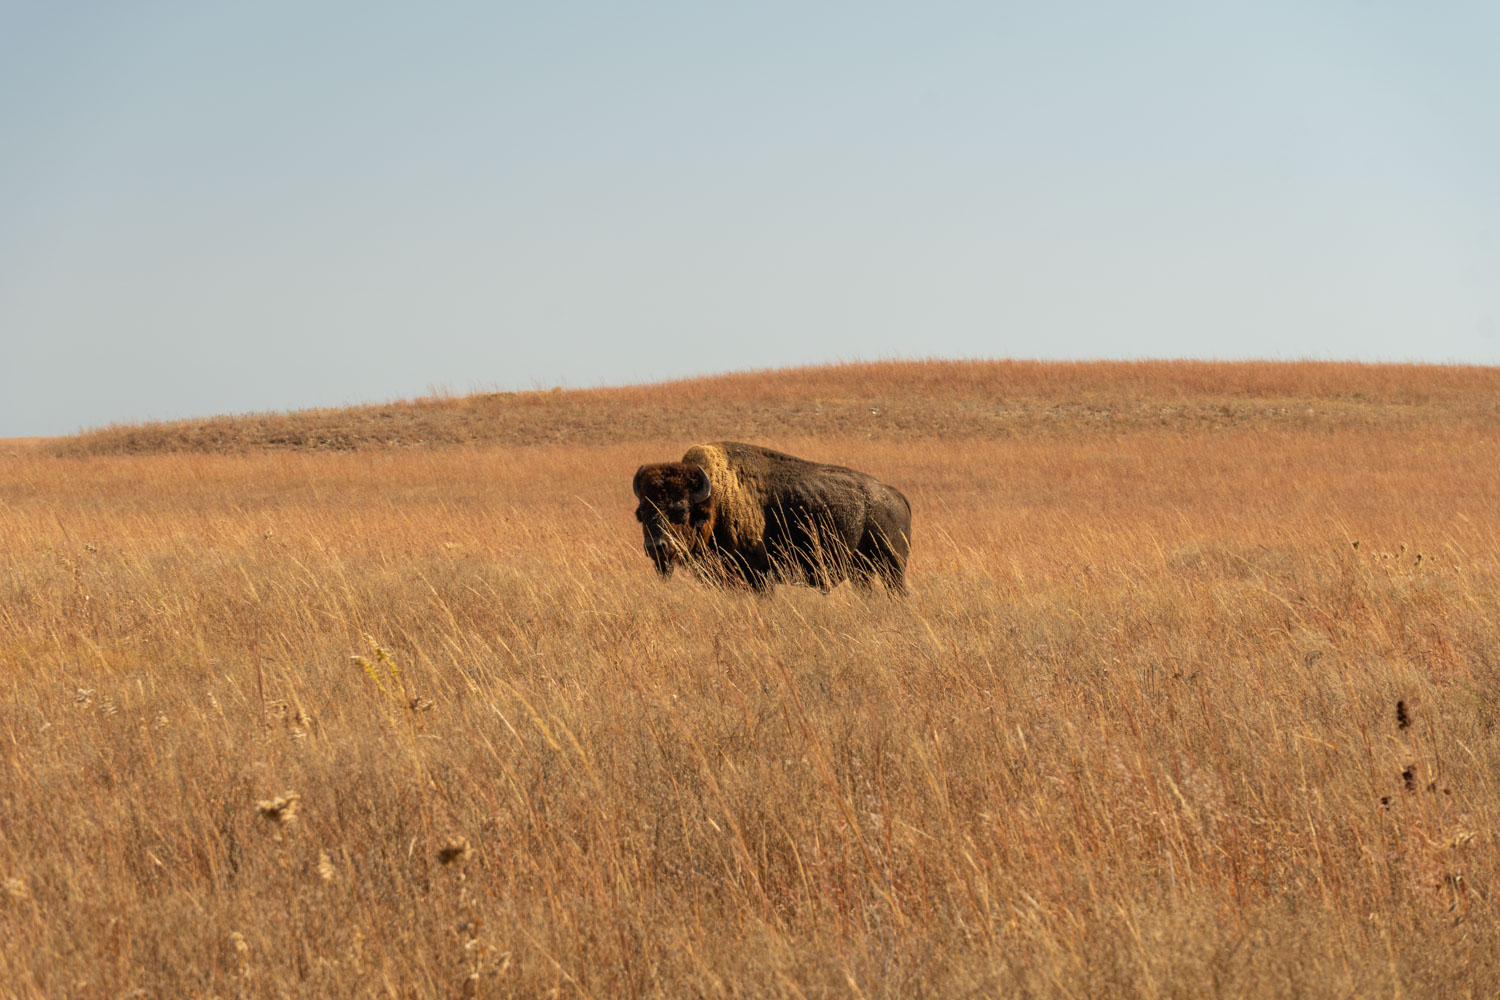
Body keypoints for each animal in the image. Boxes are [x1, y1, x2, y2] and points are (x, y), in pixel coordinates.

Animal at [632, 441, 910, 593]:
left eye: (681, 511)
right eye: (642, 513)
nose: (656, 547)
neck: (714, 503)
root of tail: (895, 495)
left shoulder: (758, 576)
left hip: (891, 567)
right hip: (860, 571)